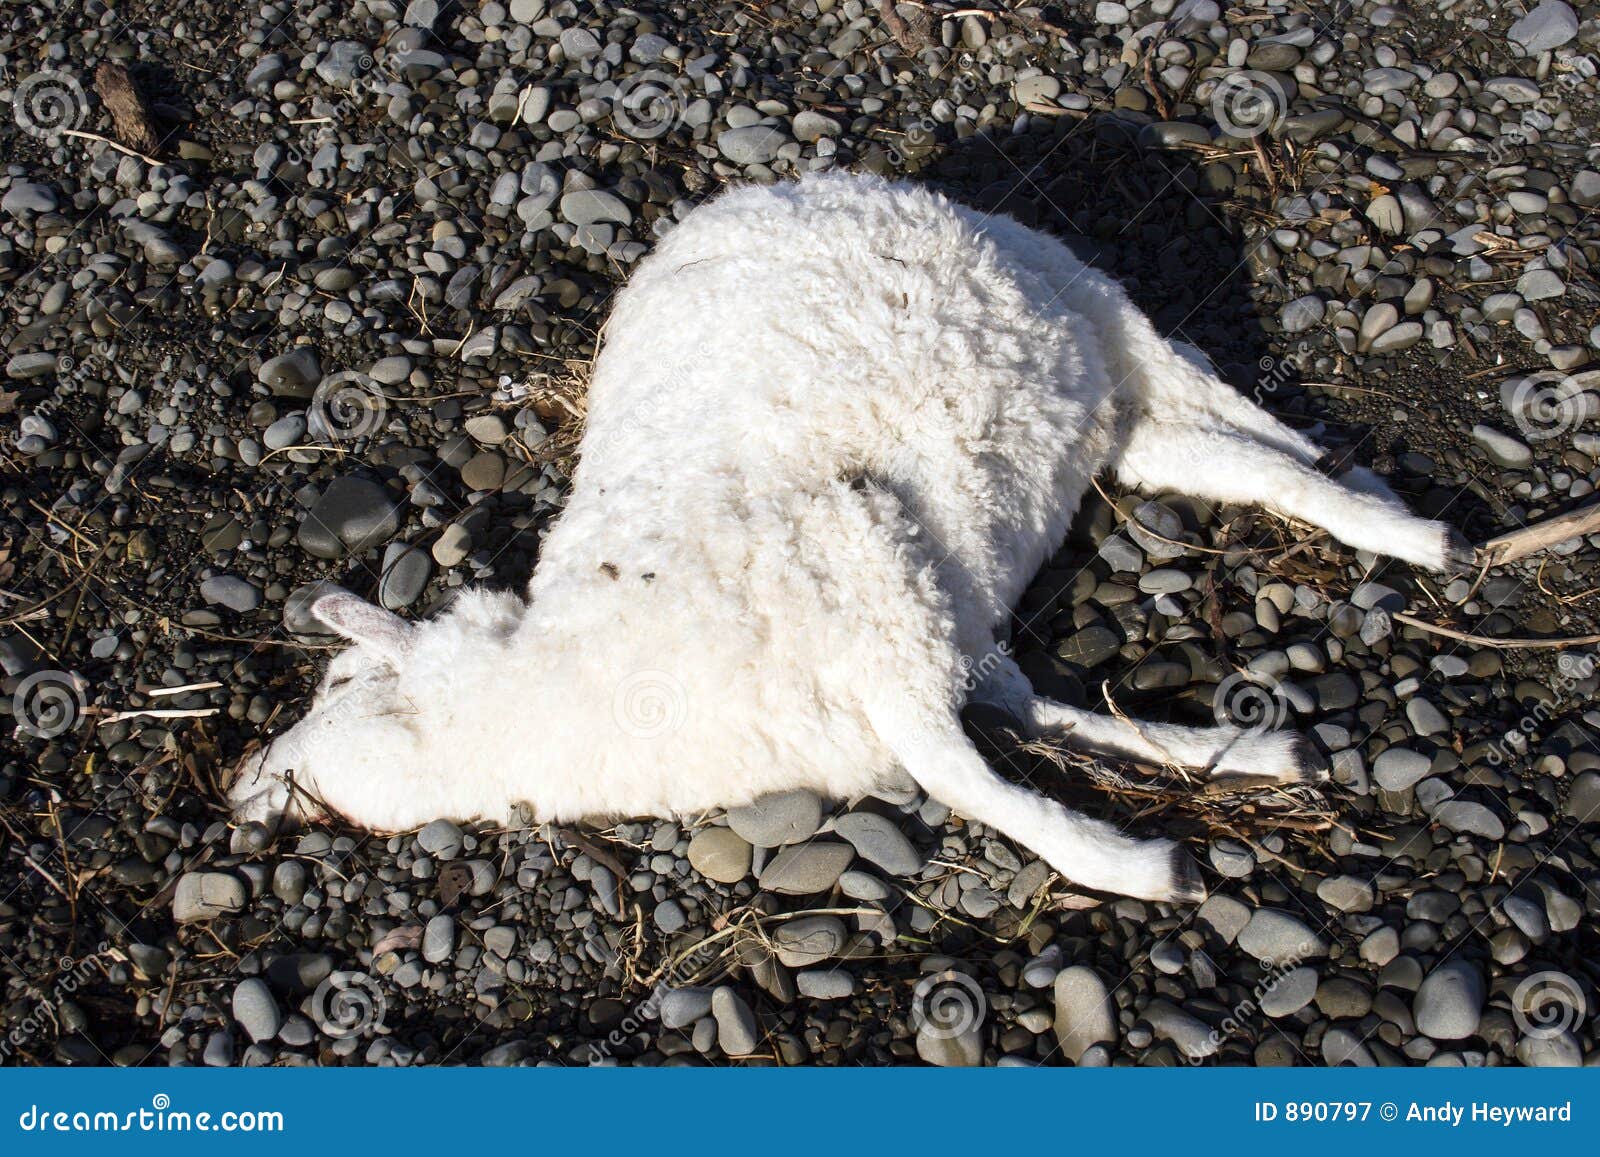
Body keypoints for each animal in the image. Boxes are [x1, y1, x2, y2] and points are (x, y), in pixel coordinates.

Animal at [229, 171, 1471, 903]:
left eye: (339, 683)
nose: (241, 793)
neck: (565, 681)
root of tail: (790, 183)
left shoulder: (883, 617)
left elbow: (979, 789)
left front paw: (1131, 864)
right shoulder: (934, 647)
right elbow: (1036, 718)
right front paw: (1238, 756)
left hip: (1093, 305)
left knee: (1250, 433)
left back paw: (1416, 534)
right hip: (1107, 392)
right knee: (1237, 457)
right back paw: (1397, 524)